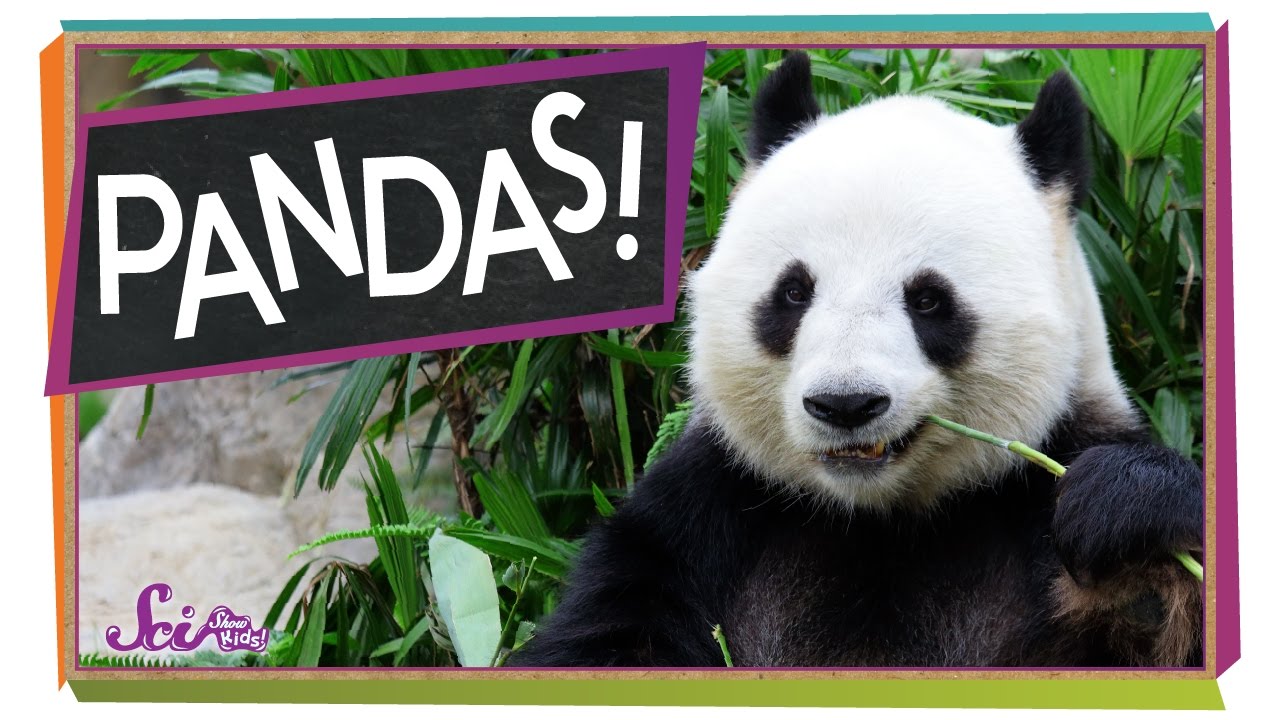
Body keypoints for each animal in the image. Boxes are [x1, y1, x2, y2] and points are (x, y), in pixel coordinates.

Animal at [512, 53, 1204, 668]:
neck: (878, 522)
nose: (845, 404)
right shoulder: (703, 515)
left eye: (928, 300)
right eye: (794, 292)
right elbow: (607, 634)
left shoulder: (1041, 480)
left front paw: (1125, 522)